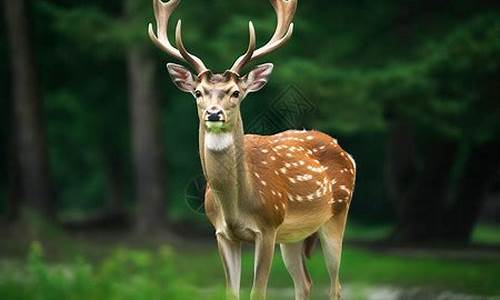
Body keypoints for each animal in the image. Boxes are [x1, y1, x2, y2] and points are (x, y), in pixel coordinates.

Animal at [148, 0, 356, 300]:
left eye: (235, 92)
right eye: (198, 92)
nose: (214, 114)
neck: (236, 208)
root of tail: (343, 150)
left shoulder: (268, 228)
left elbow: (258, 292)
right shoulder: (222, 234)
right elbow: (231, 292)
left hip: (337, 215)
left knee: (335, 286)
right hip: (293, 236)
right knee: (304, 283)